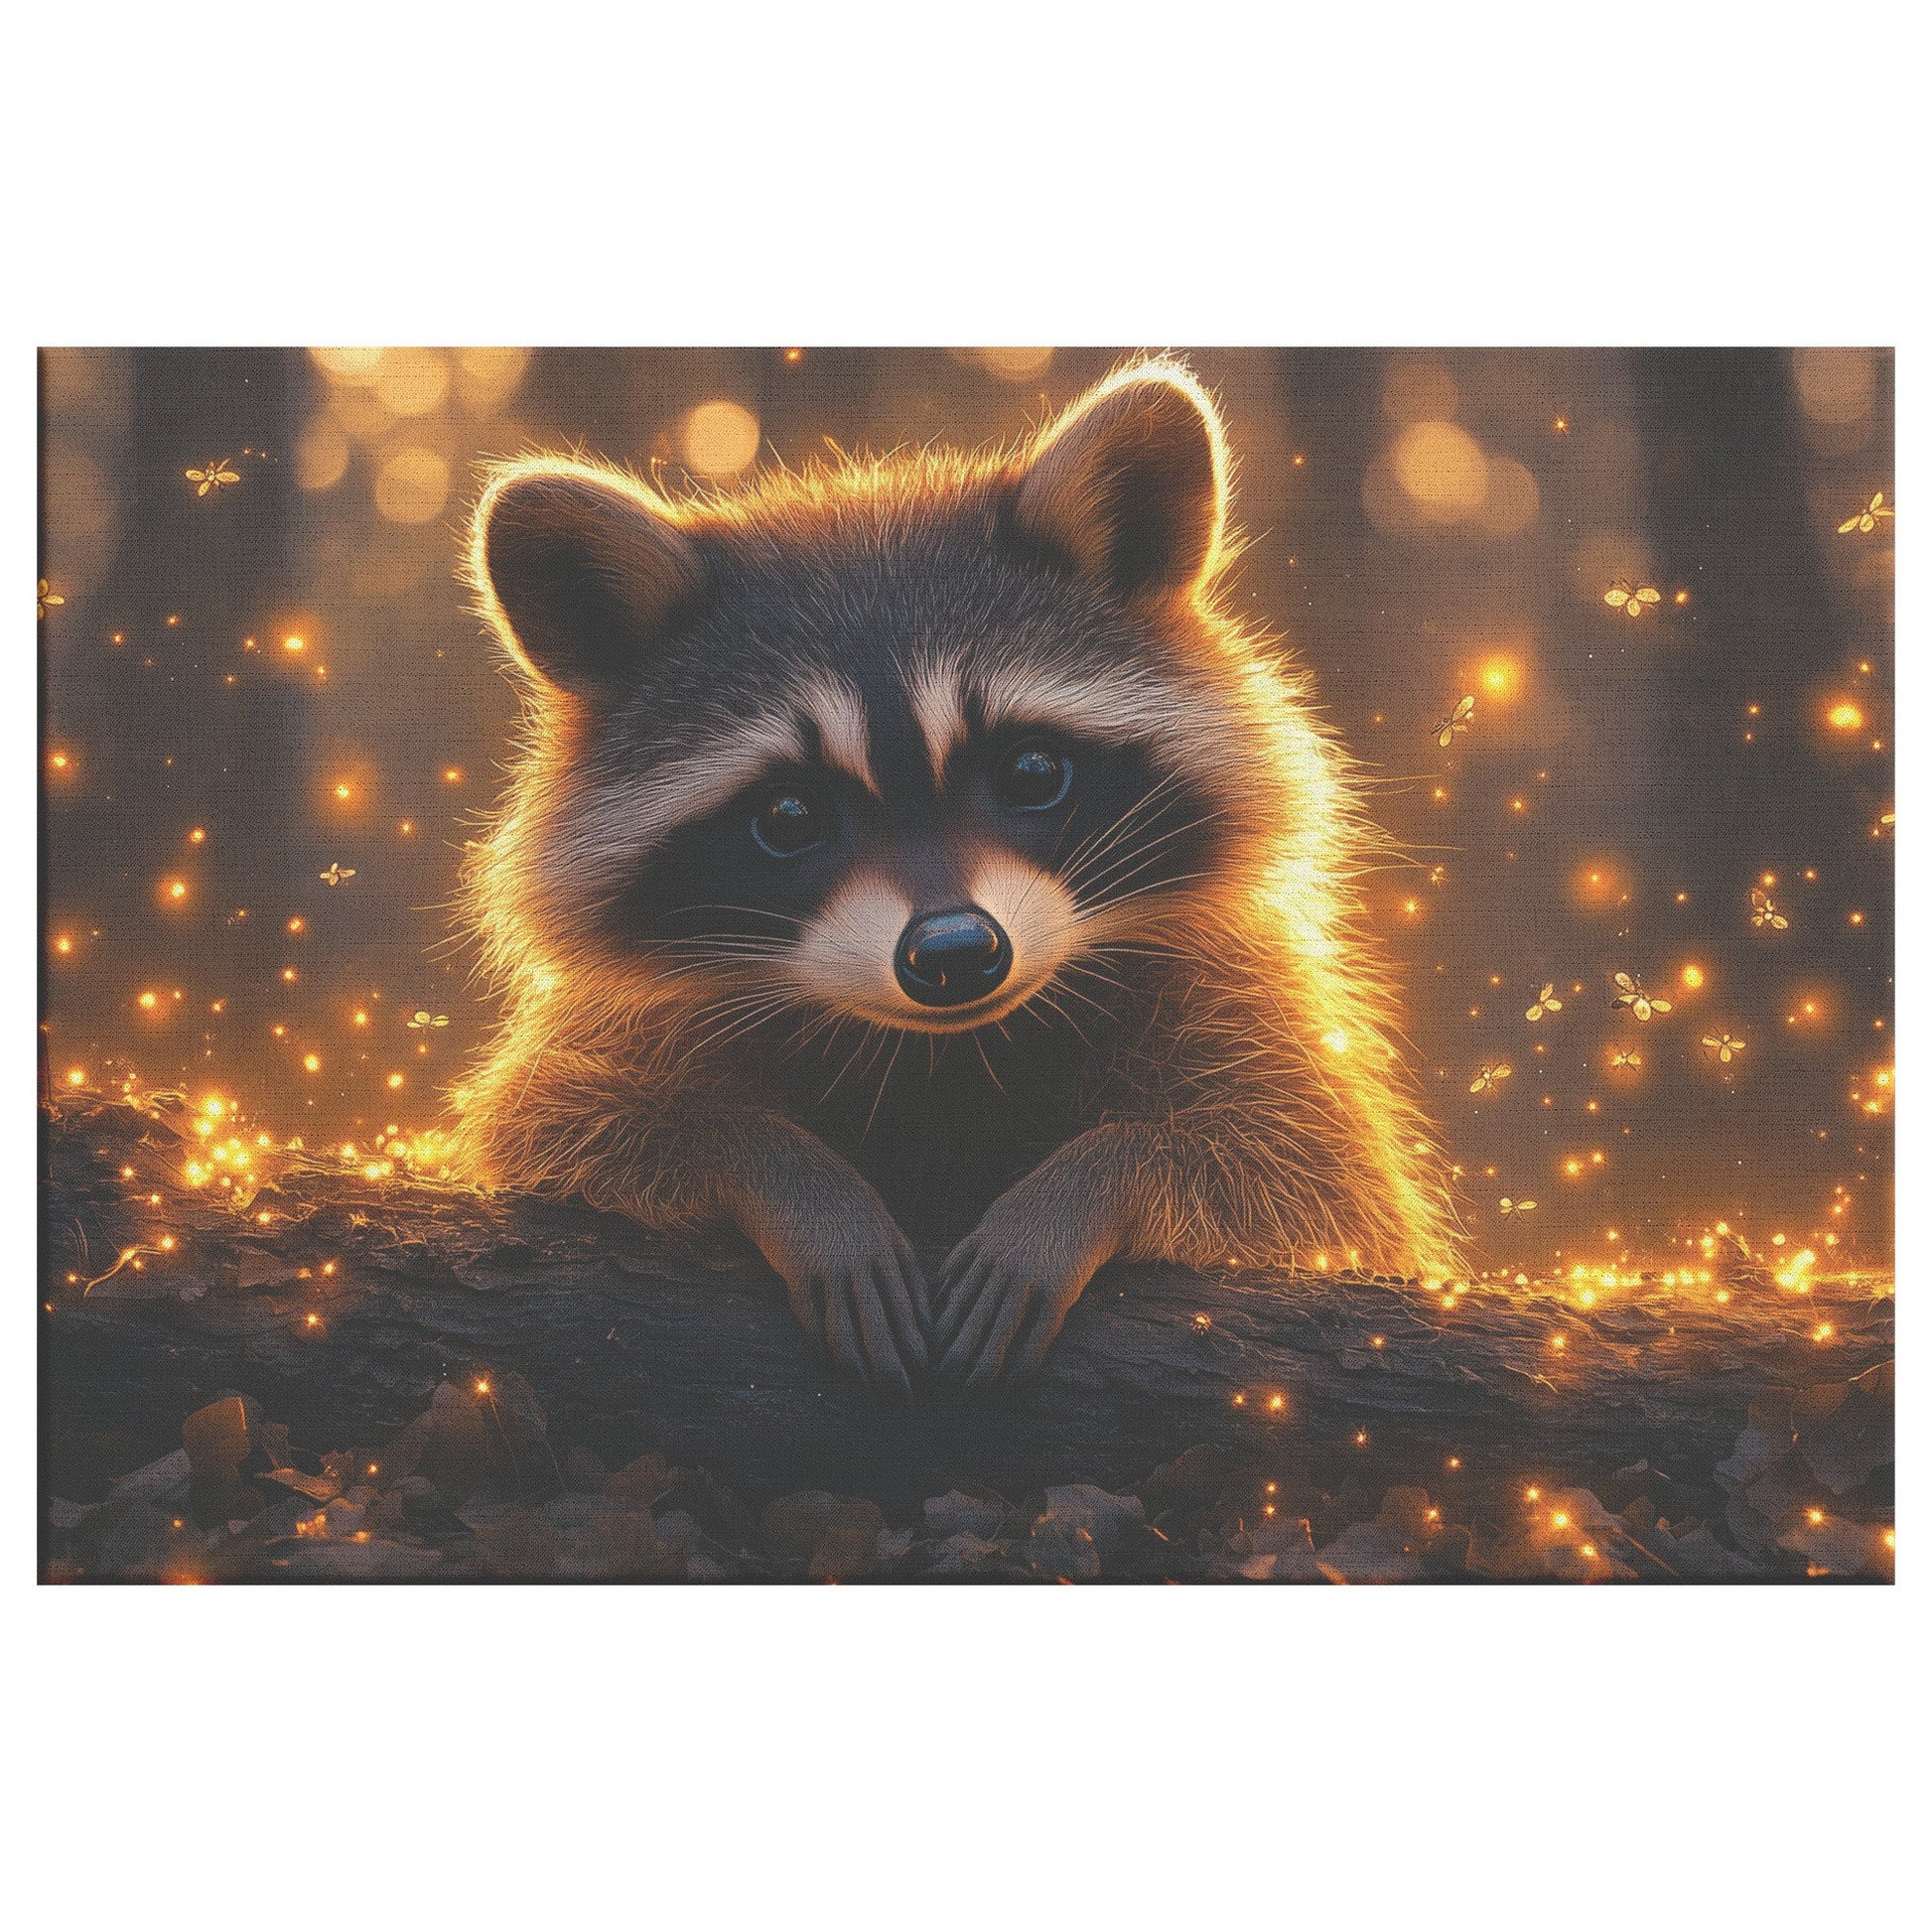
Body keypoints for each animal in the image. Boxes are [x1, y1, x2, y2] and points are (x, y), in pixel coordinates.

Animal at [453, 359, 1456, 1396]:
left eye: (1031, 772)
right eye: (789, 818)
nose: (955, 953)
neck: (949, 1048)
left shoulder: (1240, 998)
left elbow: (1317, 1183)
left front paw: (1089, 1186)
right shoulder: (617, 1041)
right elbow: (554, 1124)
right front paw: (787, 1174)